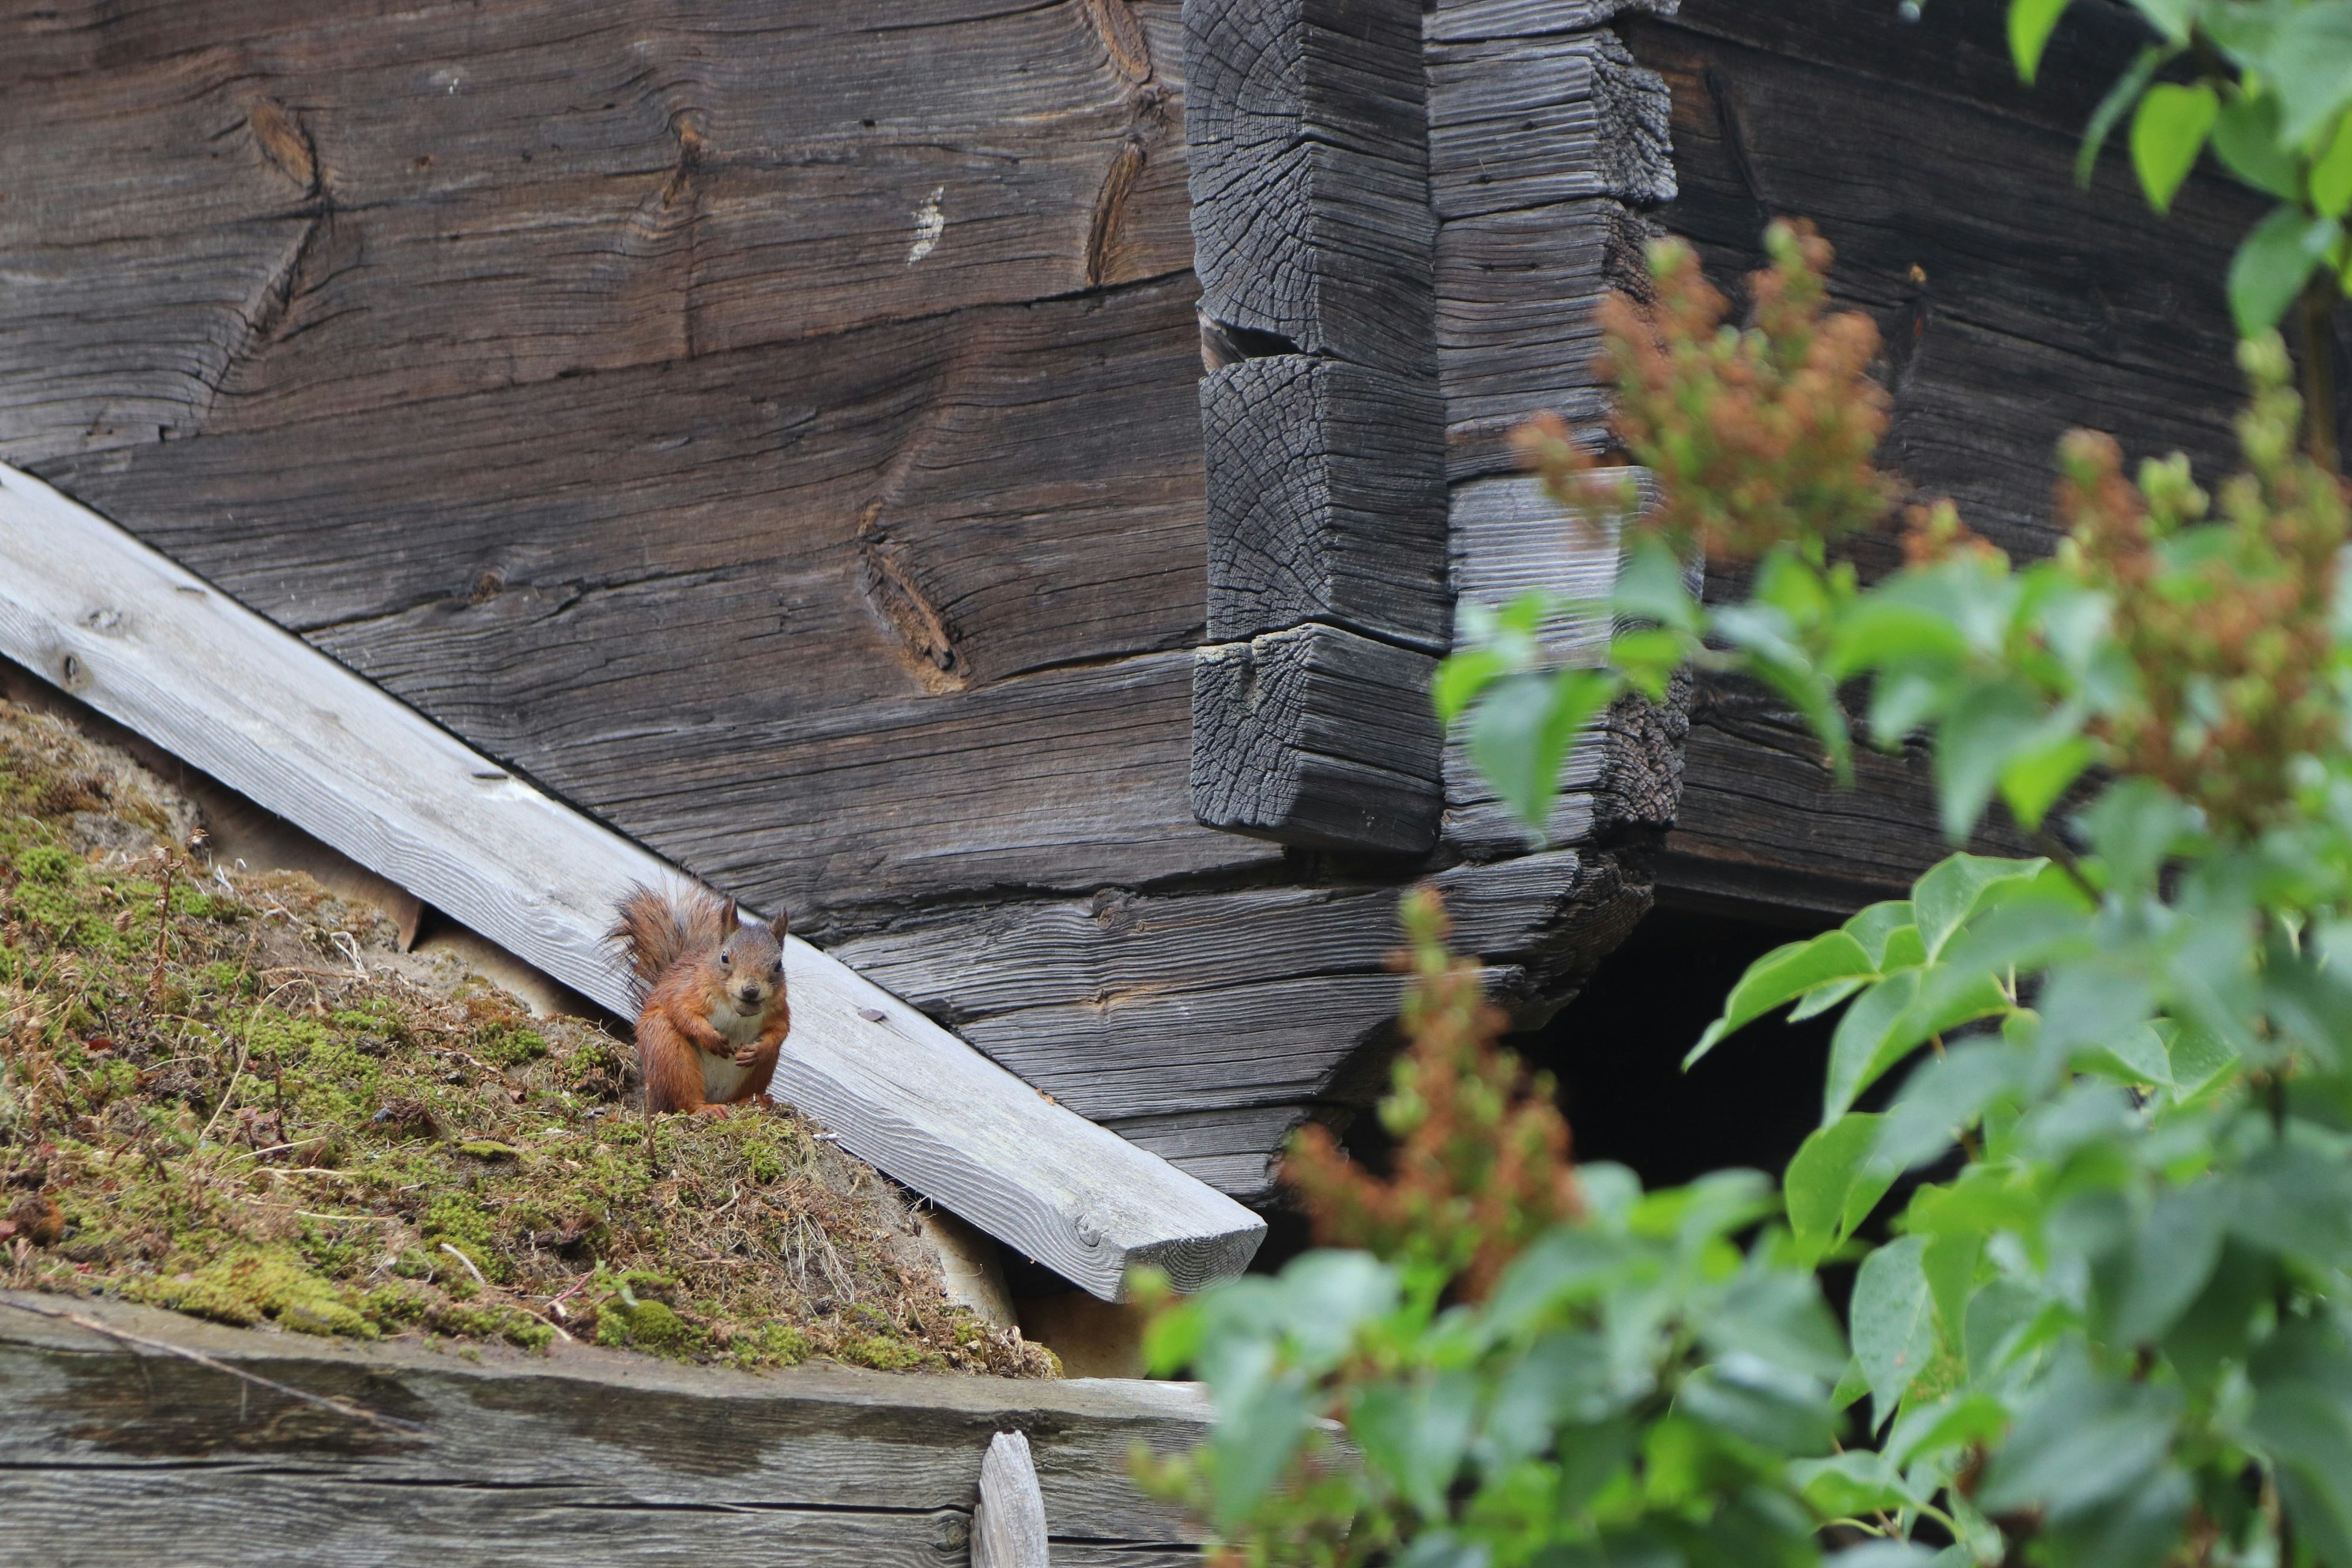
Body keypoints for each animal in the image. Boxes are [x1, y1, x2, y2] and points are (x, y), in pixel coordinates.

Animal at [610, 884, 790, 1116]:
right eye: (724, 957)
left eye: (778, 965)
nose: (751, 990)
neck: (736, 1012)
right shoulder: (686, 990)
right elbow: (680, 1010)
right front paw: (711, 1038)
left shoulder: (779, 1009)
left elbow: (780, 1031)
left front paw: (759, 1050)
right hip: (670, 1052)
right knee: (685, 1101)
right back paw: (707, 1109)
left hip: (758, 1073)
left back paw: (755, 1100)